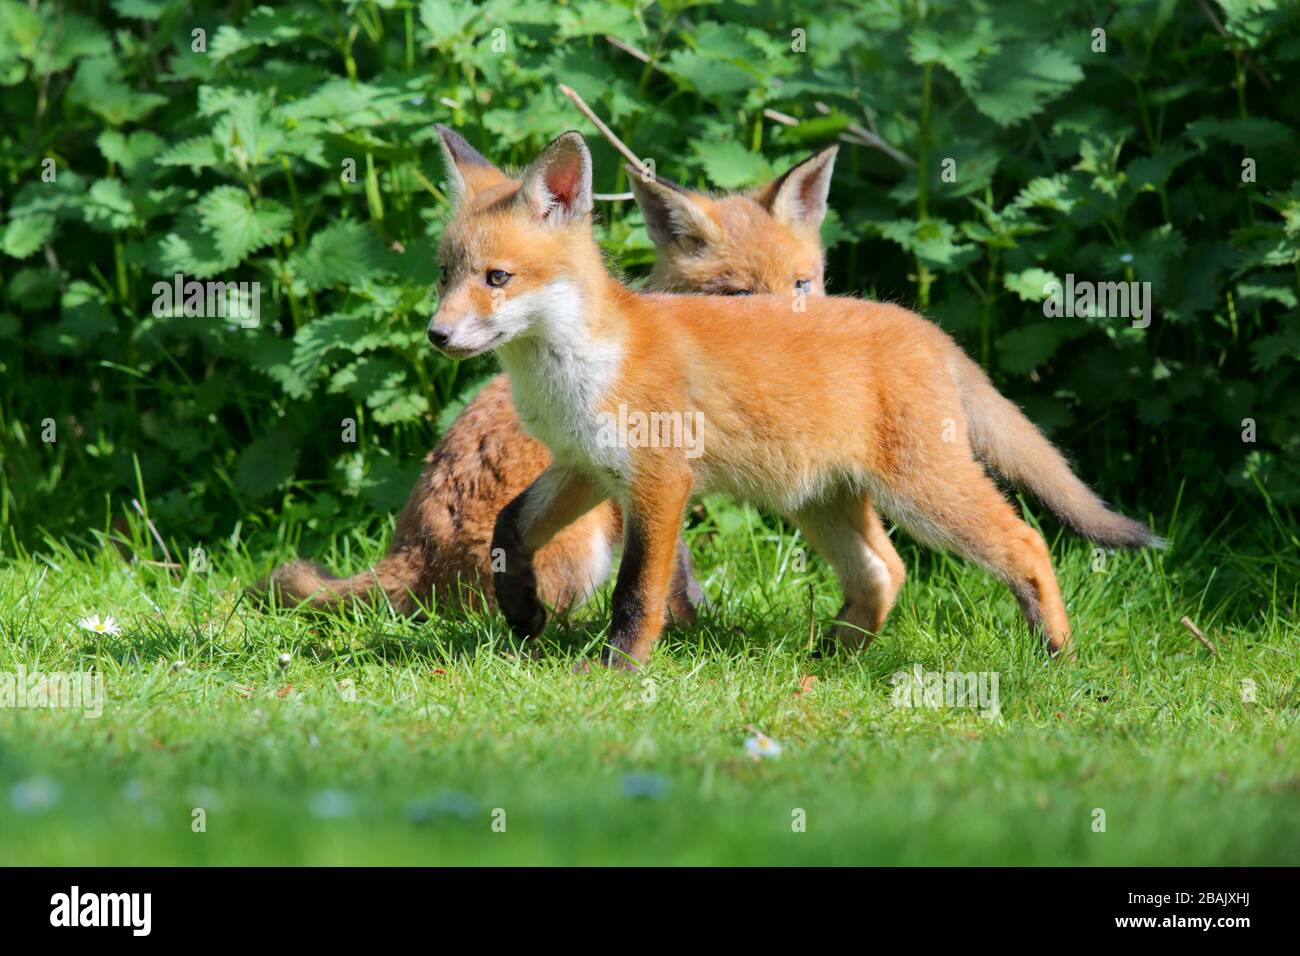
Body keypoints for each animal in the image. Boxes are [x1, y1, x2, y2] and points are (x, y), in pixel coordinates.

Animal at [427, 127, 1162, 667]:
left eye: (497, 278)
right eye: (444, 275)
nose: (436, 334)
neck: (575, 371)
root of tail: (923, 325)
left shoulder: (660, 481)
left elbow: (637, 593)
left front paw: (617, 669)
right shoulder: (585, 467)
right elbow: (509, 527)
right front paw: (522, 614)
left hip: (926, 493)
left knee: (1027, 544)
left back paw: (1057, 656)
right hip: (821, 498)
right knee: (883, 570)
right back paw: (834, 659)